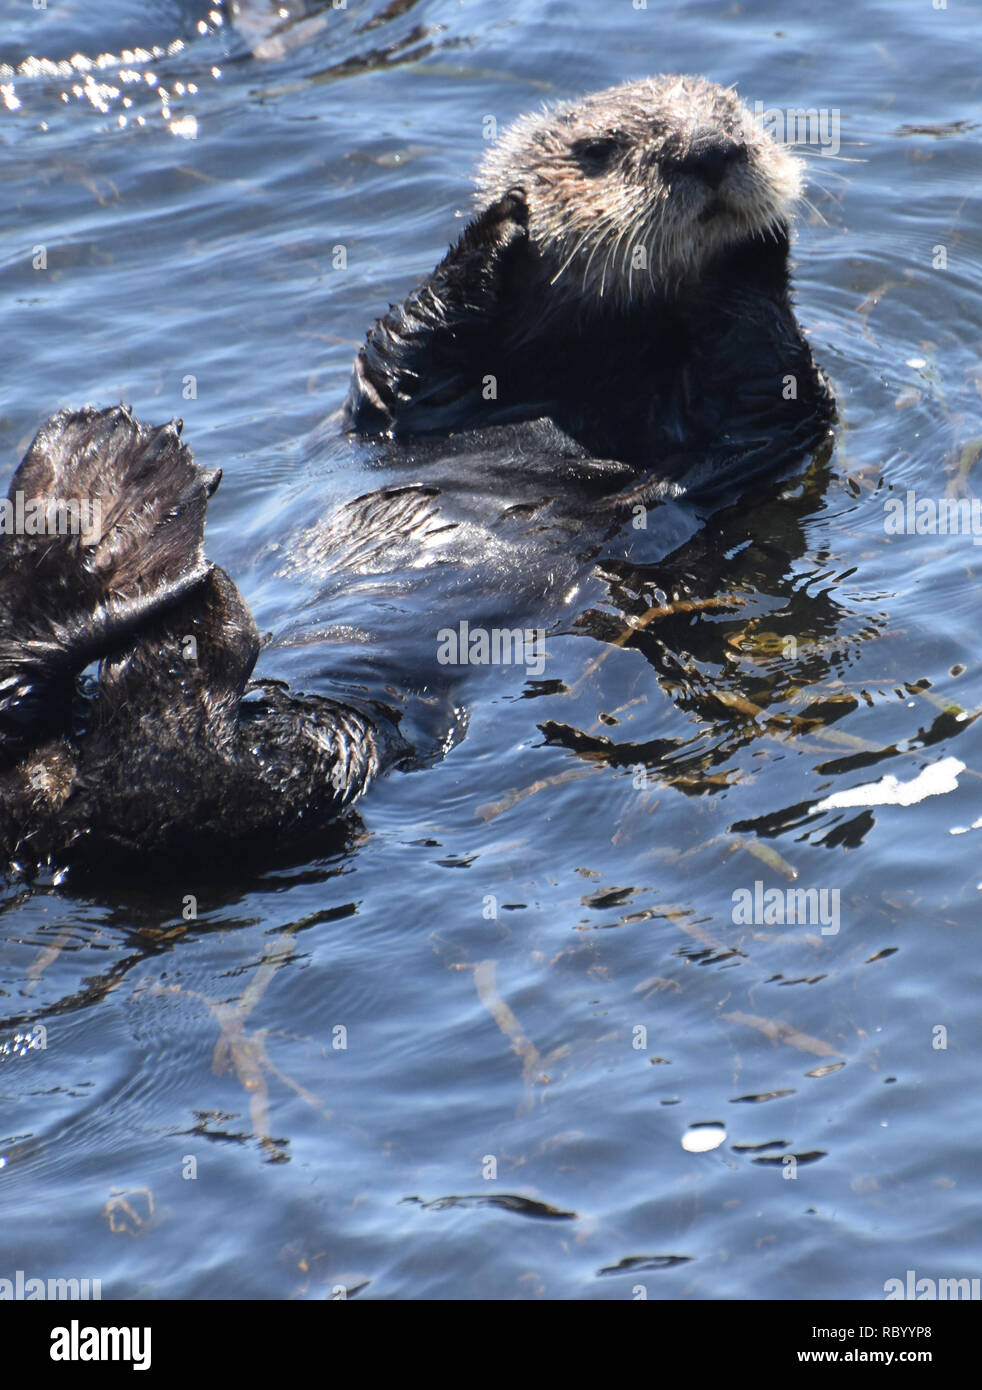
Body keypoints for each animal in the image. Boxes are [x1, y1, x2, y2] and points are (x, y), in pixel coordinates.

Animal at [1, 76, 834, 873]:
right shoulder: (405, 402)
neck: (592, 380)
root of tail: (55, 809)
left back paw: (163, 564)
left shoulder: (765, 427)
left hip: (330, 739)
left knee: (183, 779)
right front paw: (503, 220)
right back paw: (93, 513)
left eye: (734, 112)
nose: (714, 150)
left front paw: (754, 236)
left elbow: (770, 376)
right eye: (599, 149)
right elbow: (404, 346)